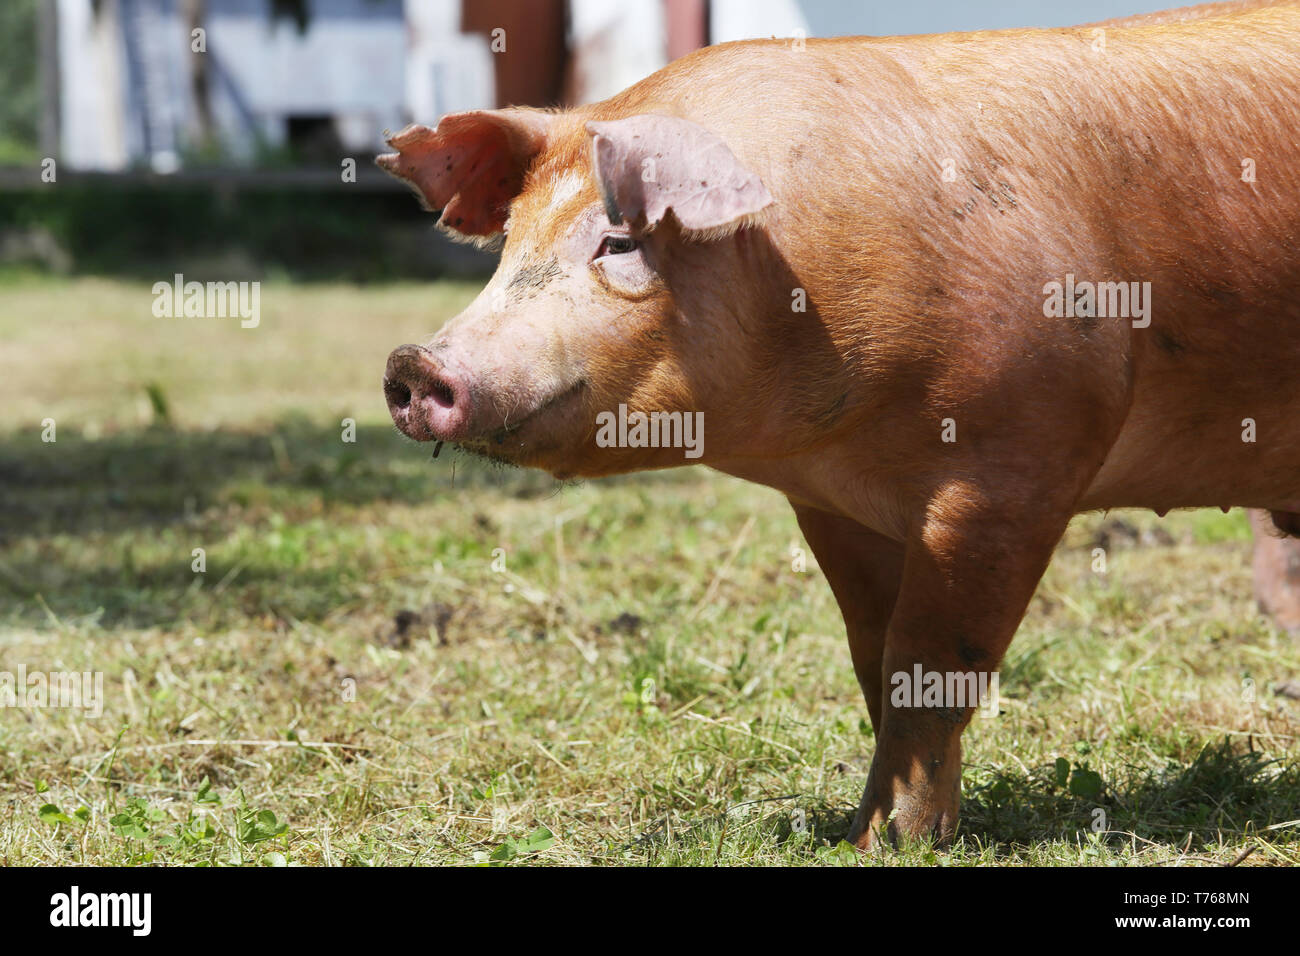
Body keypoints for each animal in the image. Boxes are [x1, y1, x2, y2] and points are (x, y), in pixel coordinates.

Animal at [379, 0, 1300, 849]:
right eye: (508, 244)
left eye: (619, 242)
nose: (413, 364)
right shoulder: (831, 502)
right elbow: (874, 658)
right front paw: (867, 834)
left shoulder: (1016, 464)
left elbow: (935, 661)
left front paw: (894, 841)